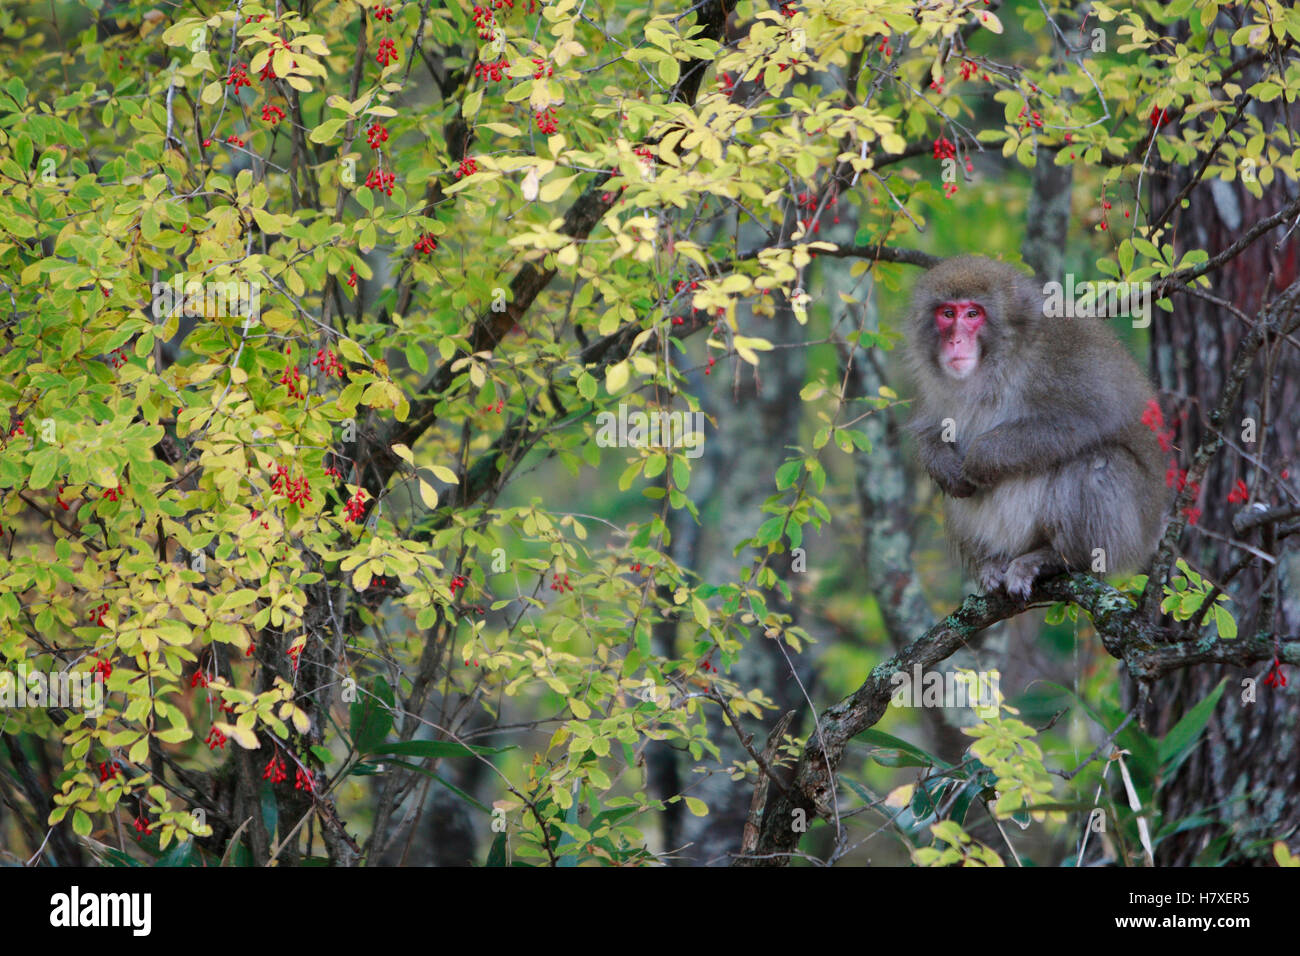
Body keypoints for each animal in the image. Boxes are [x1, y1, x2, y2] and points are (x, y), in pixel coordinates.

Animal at [905, 255, 1168, 598]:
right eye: (947, 313)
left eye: (973, 314)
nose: (955, 340)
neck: (998, 360)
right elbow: (931, 429)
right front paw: (944, 465)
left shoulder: (1060, 350)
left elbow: (1085, 417)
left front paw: (980, 458)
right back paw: (992, 562)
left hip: (1127, 535)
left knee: (1098, 463)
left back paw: (1054, 558)